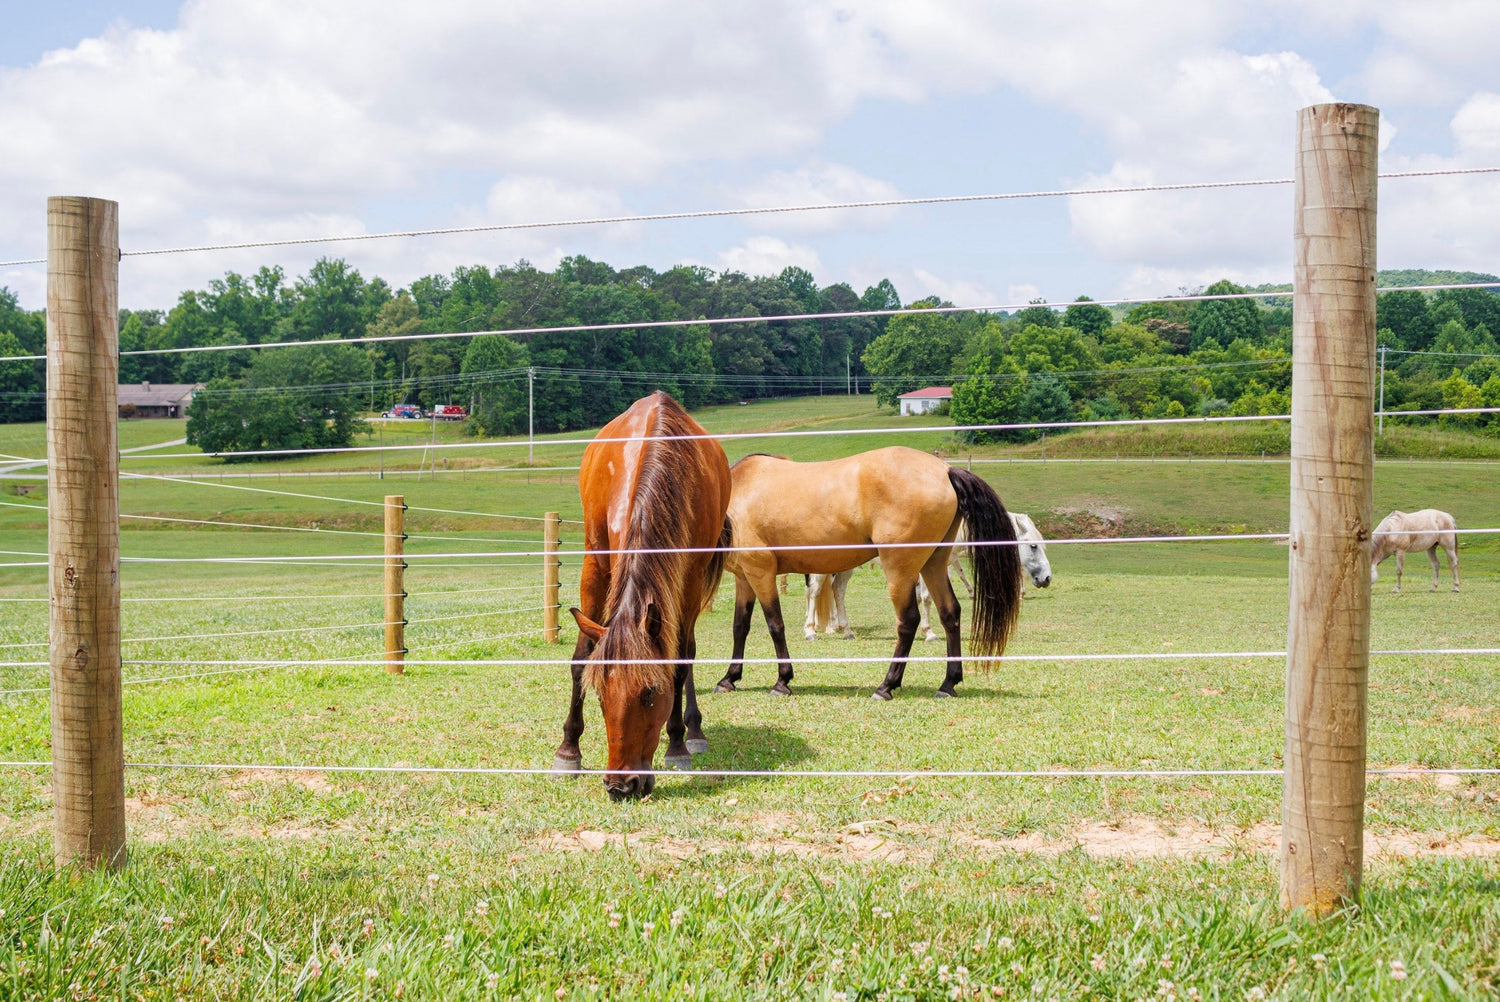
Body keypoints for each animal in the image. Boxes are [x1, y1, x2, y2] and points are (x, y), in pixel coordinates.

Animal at [552, 392, 732, 800]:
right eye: (600, 695)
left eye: (650, 693)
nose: (621, 785)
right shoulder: (595, 561)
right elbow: (581, 658)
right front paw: (568, 750)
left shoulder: (689, 577)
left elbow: (679, 662)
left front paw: (678, 745)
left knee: (688, 650)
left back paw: (692, 731)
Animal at [716, 447, 1023, 700]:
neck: (738, 491)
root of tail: (945, 471)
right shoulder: (745, 578)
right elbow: (739, 626)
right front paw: (729, 678)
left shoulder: (761, 572)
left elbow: (775, 625)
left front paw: (782, 681)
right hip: (934, 564)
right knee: (950, 613)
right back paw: (948, 684)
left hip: (900, 571)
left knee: (908, 621)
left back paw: (886, 686)